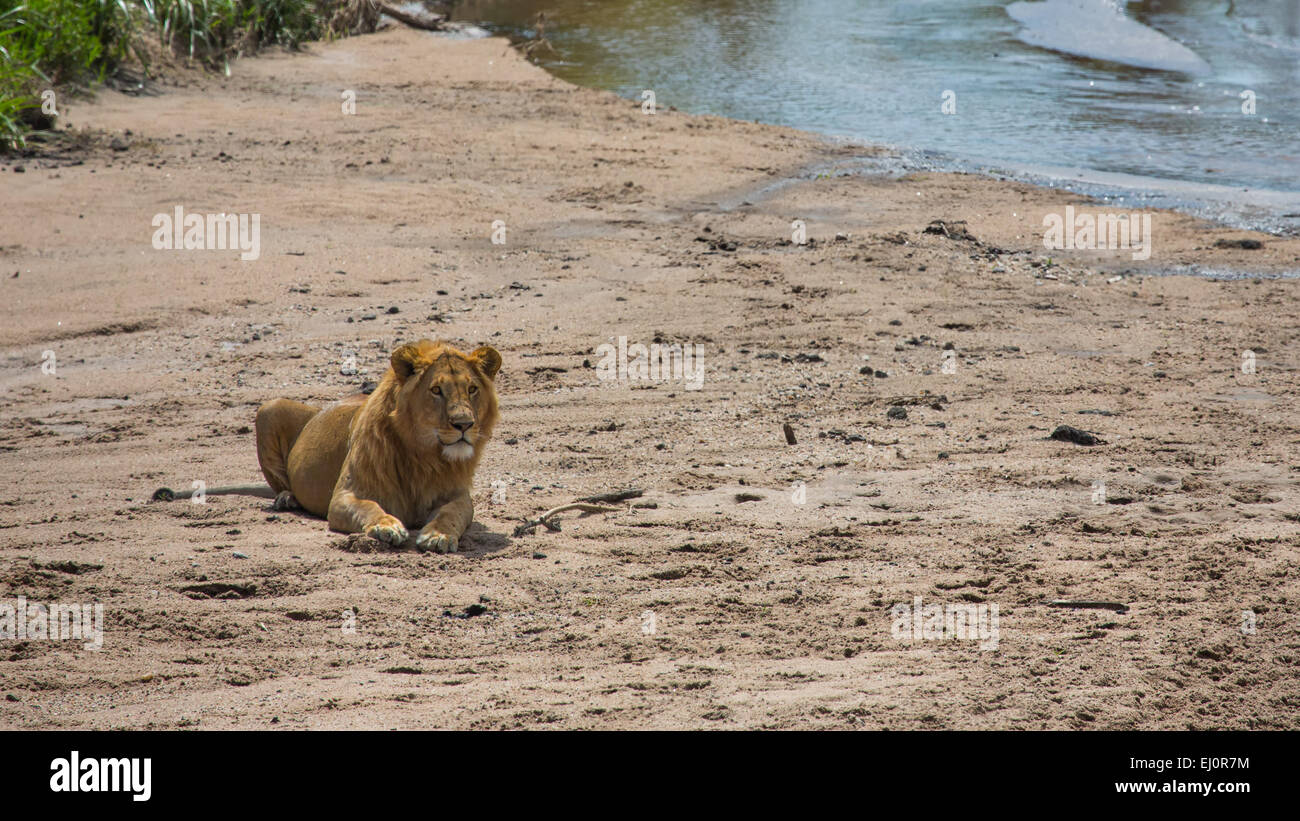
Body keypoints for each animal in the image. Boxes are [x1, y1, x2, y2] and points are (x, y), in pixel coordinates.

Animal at [154, 340, 501, 552]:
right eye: (436, 390)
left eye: (471, 389)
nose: (464, 424)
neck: (424, 455)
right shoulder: (346, 496)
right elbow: (369, 507)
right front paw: (387, 527)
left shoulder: (457, 496)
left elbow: (452, 514)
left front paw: (438, 535)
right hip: (269, 407)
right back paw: (287, 498)